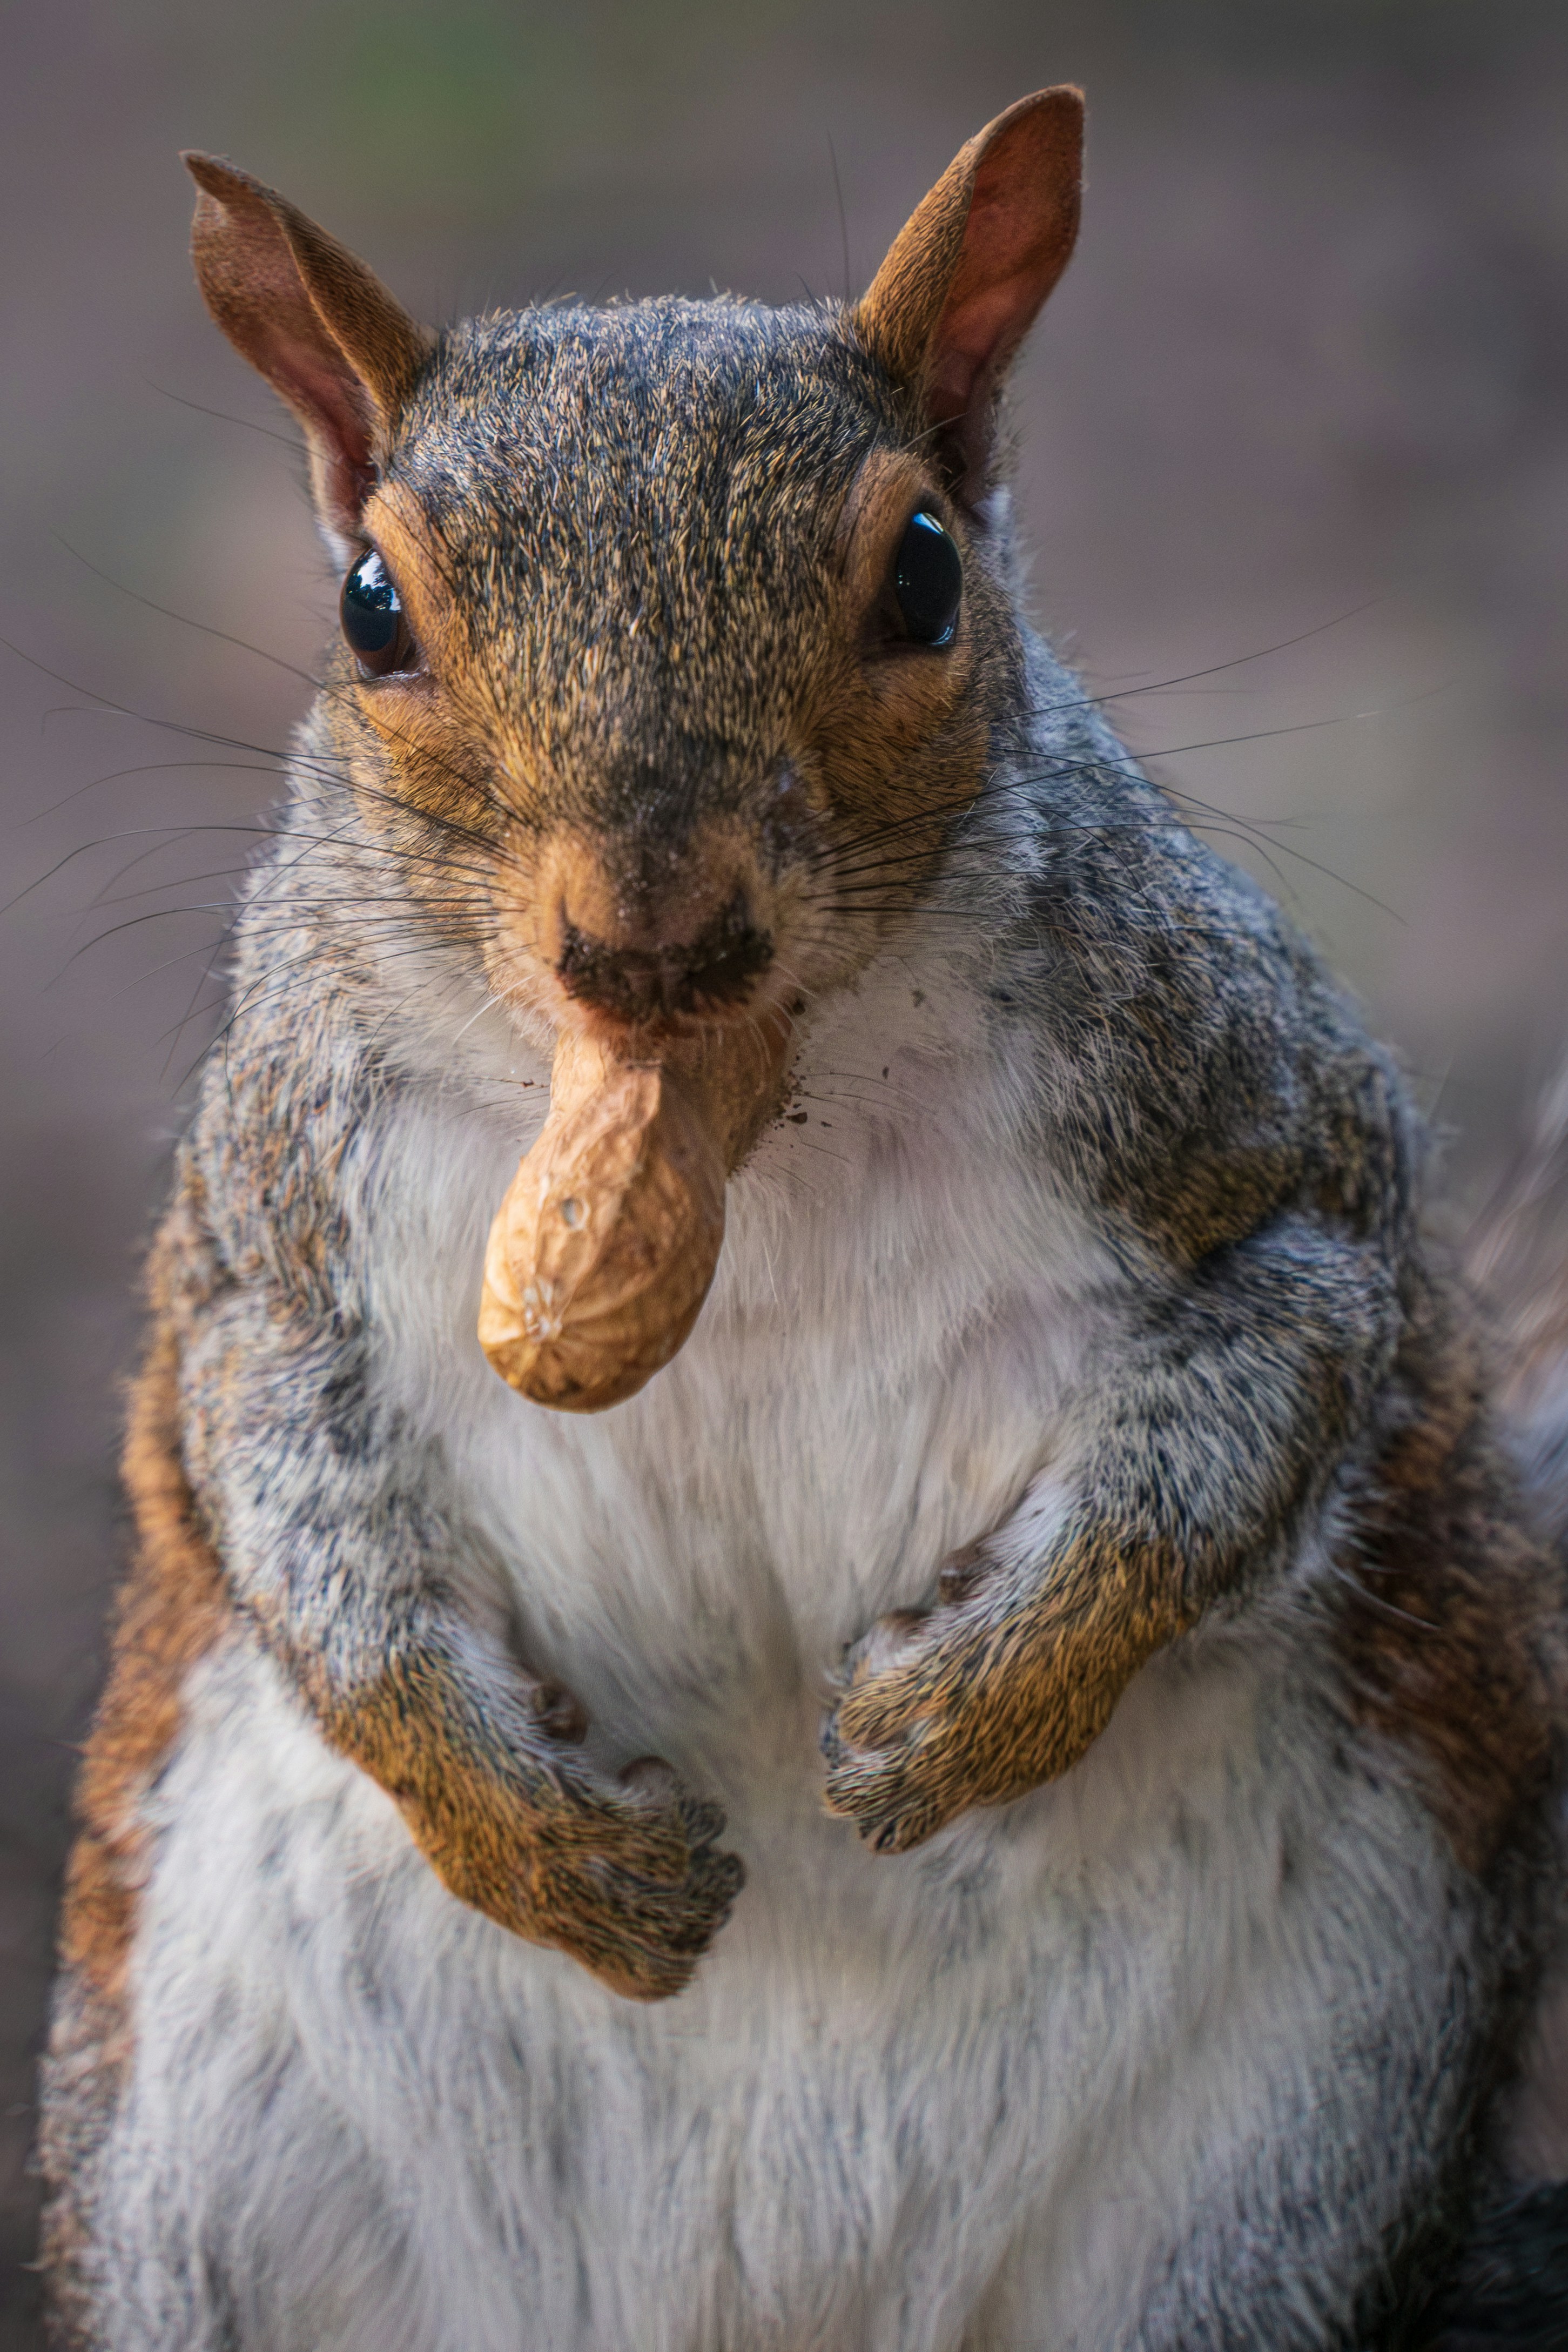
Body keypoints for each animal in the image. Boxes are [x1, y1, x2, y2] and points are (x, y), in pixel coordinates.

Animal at [38, 86, 1568, 2352]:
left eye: (925, 573)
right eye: (371, 608)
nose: (650, 938)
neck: (731, 1129)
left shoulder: (1252, 1143)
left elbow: (1263, 1396)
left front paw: (967, 1706)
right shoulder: (265, 1235)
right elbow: (279, 1497)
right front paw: (541, 1843)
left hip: (1264, 2184)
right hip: (195, 2200)